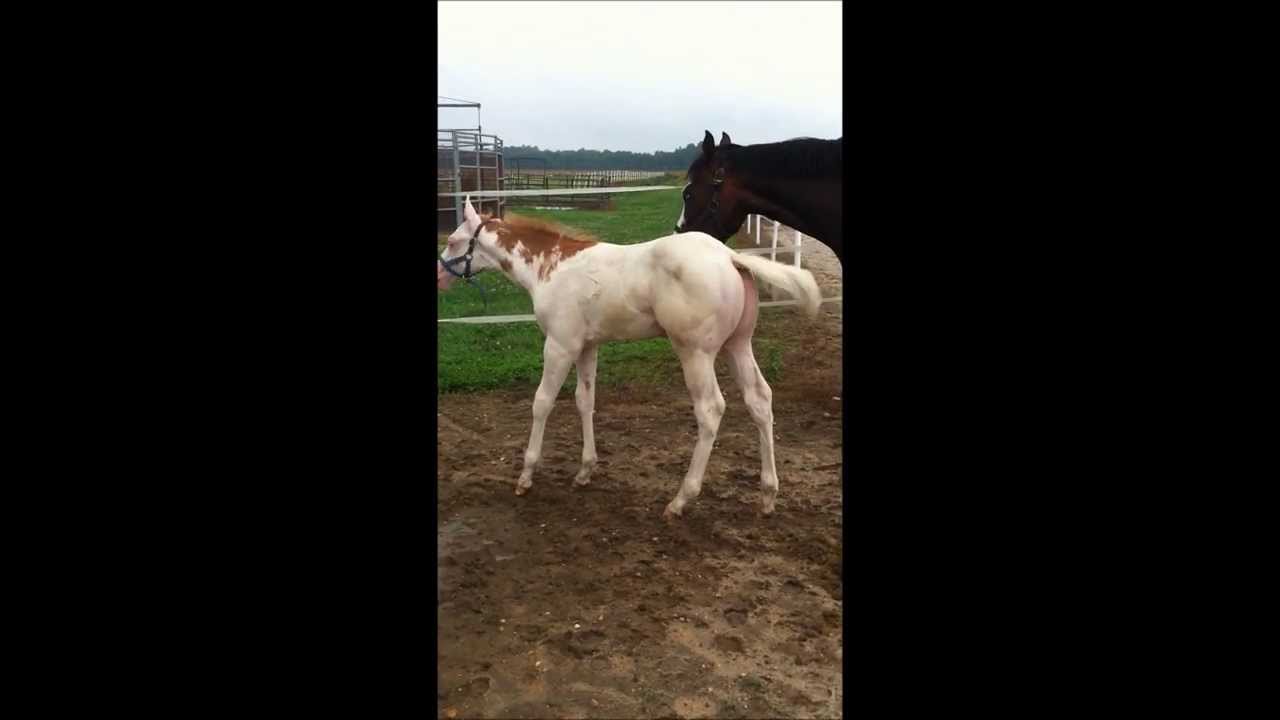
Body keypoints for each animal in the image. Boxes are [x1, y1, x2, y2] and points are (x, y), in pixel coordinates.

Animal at [438, 196, 821, 519]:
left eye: (453, 240)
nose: (440, 275)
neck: (552, 267)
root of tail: (729, 257)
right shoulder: (587, 346)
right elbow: (585, 401)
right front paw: (585, 470)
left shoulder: (559, 345)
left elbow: (542, 402)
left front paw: (526, 475)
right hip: (738, 345)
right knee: (760, 400)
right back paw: (768, 495)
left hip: (695, 353)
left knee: (711, 410)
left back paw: (681, 499)